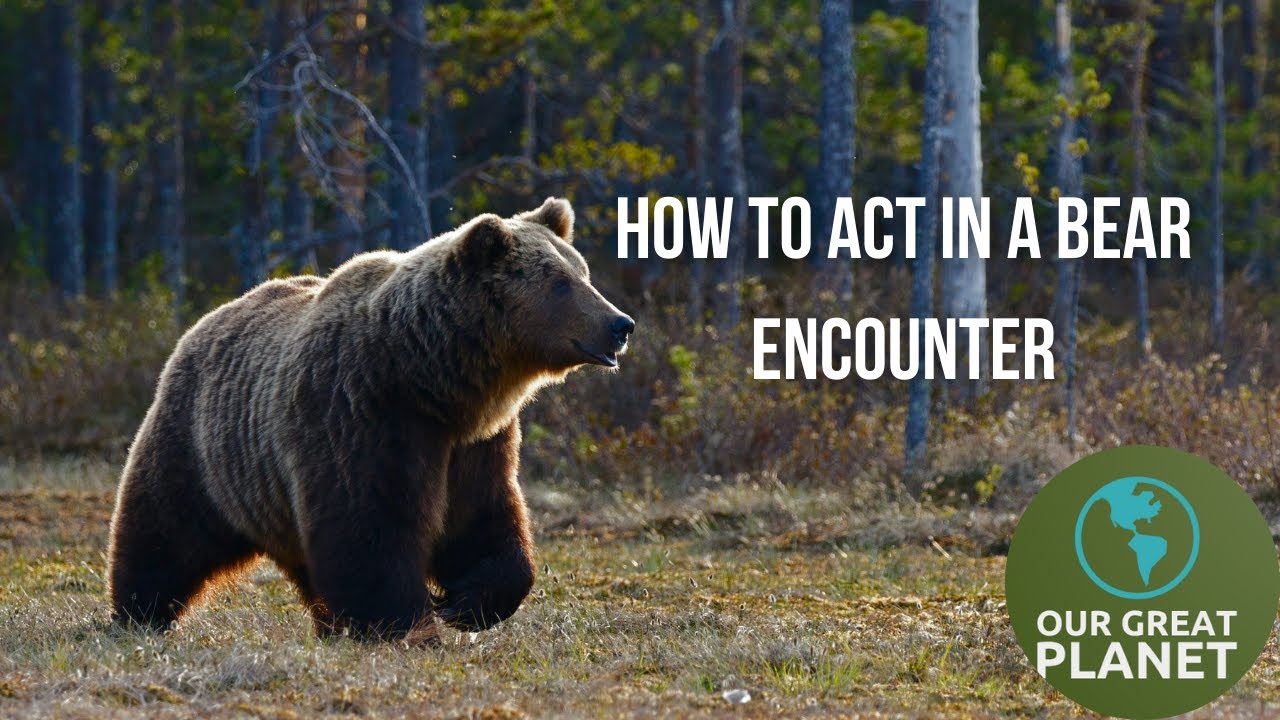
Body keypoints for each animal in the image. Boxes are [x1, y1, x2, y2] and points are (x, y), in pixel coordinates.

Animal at [107, 198, 633, 641]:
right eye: (560, 283)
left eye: (583, 272)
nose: (620, 324)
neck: (431, 379)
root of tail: (205, 321)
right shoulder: (361, 413)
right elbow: (370, 526)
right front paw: (405, 623)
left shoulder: (476, 443)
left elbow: (483, 518)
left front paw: (466, 602)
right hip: (203, 446)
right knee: (164, 529)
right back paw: (138, 613)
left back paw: (328, 624)